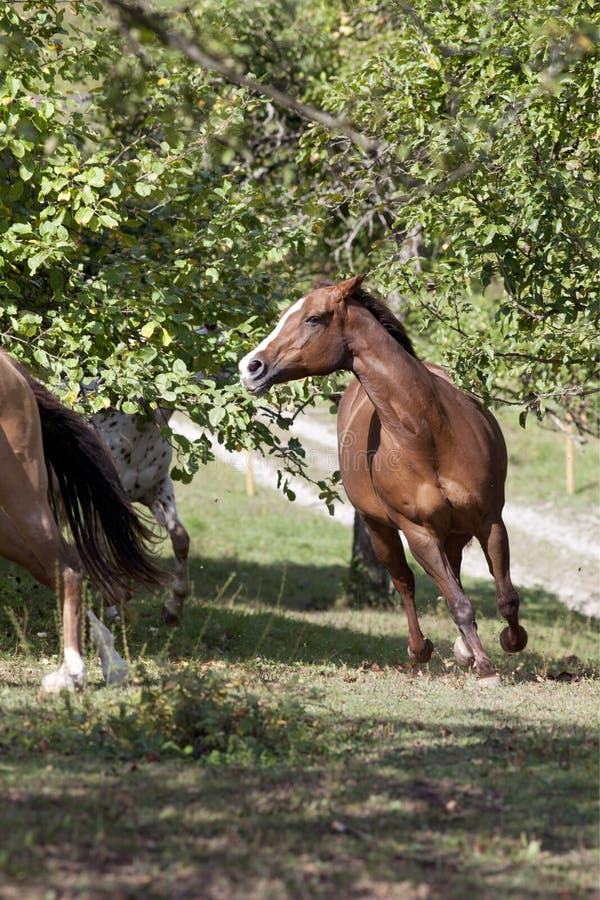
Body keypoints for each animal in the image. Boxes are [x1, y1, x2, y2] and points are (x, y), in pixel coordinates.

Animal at [0, 352, 166, 692]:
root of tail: (13, 368)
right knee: (52, 567)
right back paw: (111, 665)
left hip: (21, 492)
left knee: (68, 567)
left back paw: (74, 672)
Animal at [239, 275, 528, 685]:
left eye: (313, 318)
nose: (250, 367)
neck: (429, 433)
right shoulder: (419, 533)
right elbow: (456, 602)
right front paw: (486, 667)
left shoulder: (490, 520)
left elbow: (506, 597)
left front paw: (509, 642)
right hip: (382, 531)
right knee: (405, 582)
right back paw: (421, 648)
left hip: (455, 531)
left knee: (453, 573)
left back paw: (461, 650)